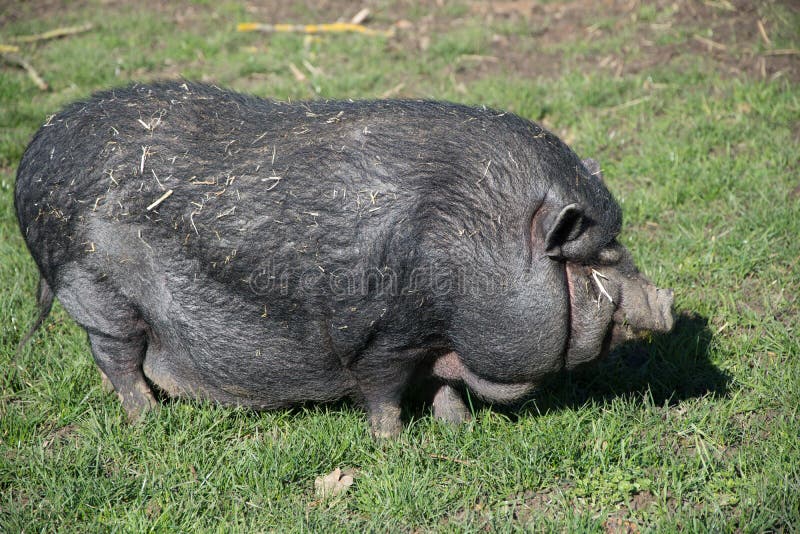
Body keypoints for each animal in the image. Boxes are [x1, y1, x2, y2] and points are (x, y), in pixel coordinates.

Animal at [14, 81, 674, 438]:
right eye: (599, 259)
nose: (669, 304)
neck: (473, 252)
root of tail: (32, 160)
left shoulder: (435, 339)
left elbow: (443, 386)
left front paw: (456, 432)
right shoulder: (382, 336)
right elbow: (382, 392)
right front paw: (395, 446)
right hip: (97, 291)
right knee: (117, 359)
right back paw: (149, 420)